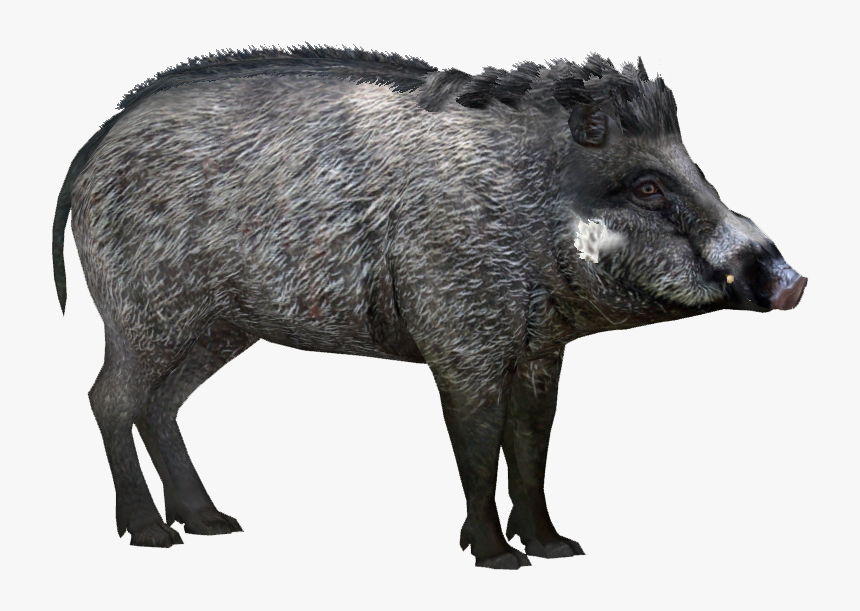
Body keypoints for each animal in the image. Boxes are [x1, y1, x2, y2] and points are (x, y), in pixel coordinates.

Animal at [53, 46, 806, 569]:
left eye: (698, 171)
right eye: (648, 186)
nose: (794, 282)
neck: (527, 209)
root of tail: (93, 150)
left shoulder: (539, 353)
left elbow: (531, 443)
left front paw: (558, 547)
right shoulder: (459, 341)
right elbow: (478, 445)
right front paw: (499, 559)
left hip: (214, 330)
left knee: (159, 406)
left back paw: (212, 522)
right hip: (144, 316)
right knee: (108, 399)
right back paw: (154, 535)